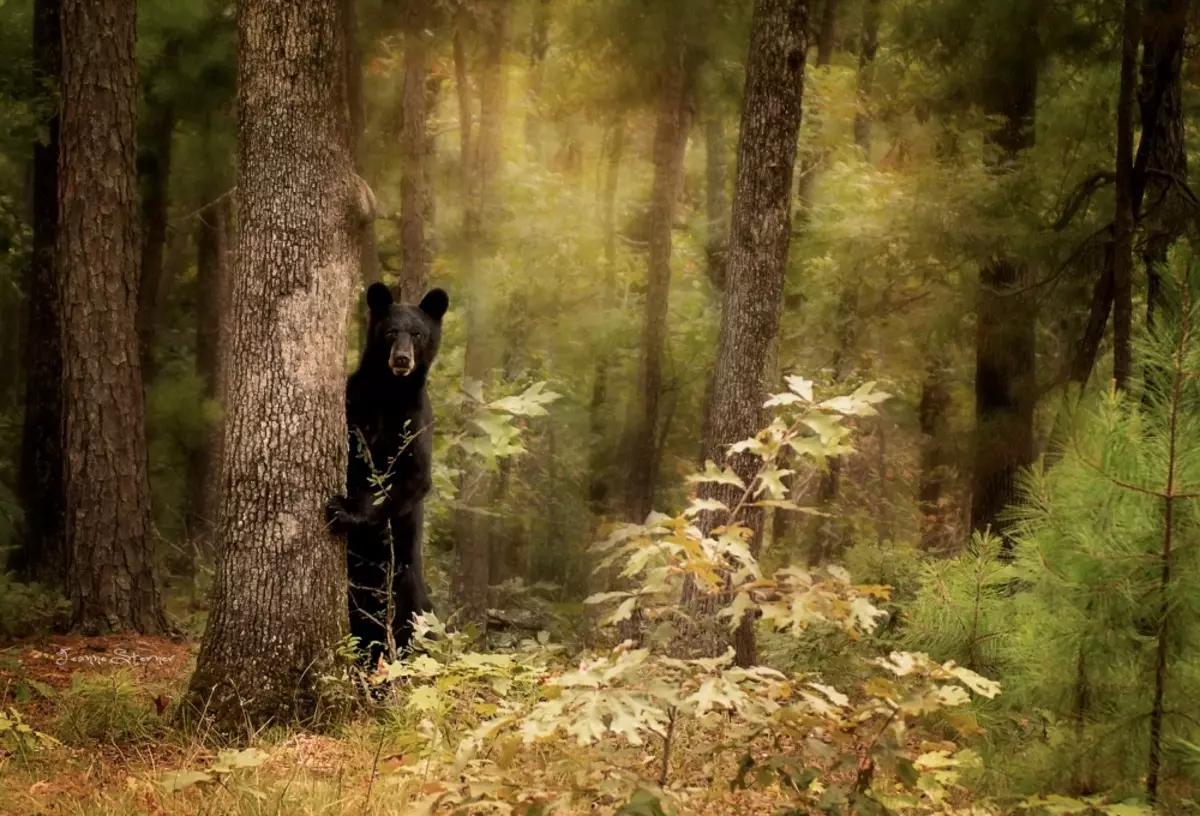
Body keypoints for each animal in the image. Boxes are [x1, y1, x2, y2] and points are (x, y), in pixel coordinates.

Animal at [326, 283, 448, 667]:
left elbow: (410, 478)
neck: (390, 395)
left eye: (418, 334)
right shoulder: (355, 404)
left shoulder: (416, 421)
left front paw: (345, 509)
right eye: (391, 332)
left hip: (405, 583)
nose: (402, 359)